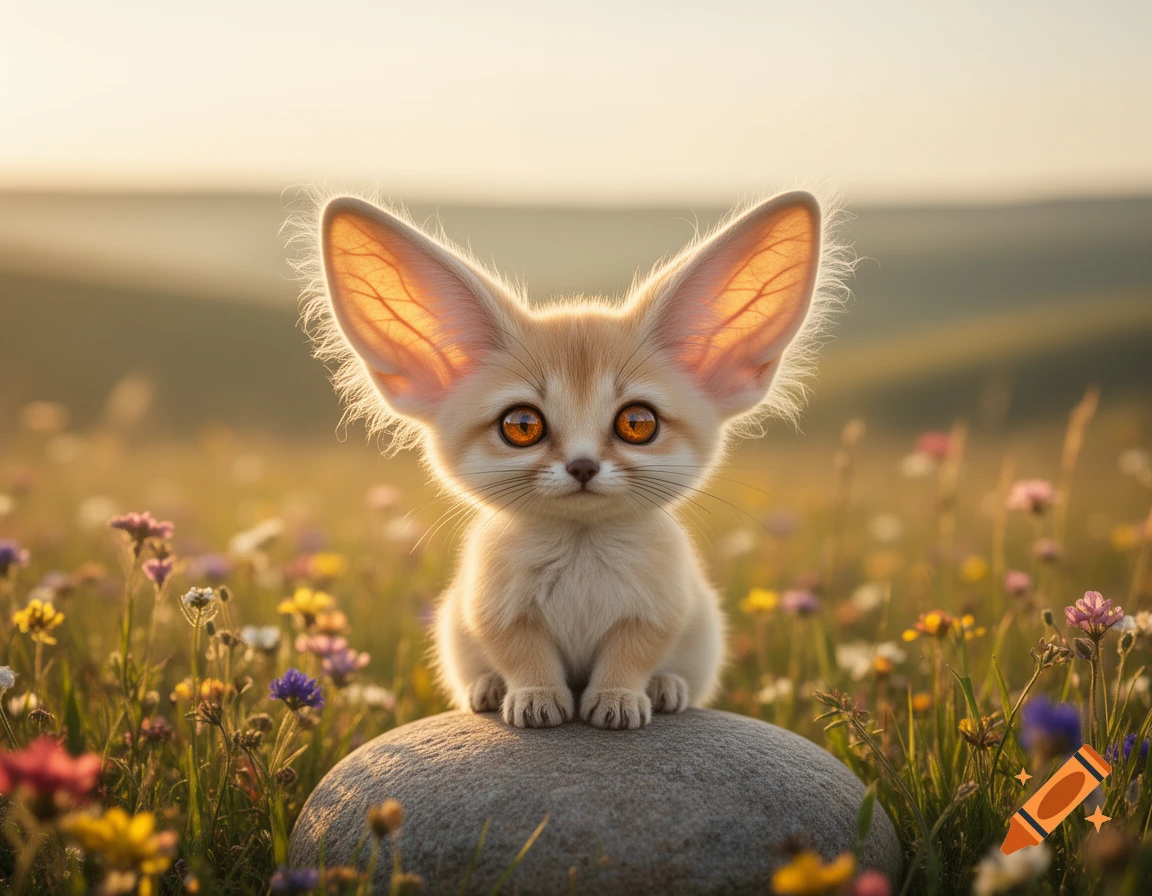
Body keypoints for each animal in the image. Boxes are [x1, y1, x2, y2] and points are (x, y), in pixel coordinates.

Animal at [300, 190, 848, 729]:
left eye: (638, 423)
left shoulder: (656, 614)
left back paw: (667, 687)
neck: (581, 547)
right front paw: (536, 698)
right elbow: (525, 658)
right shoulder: (495, 614)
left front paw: (618, 700)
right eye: (521, 425)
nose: (583, 466)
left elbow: (629, 658)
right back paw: (488, 688)